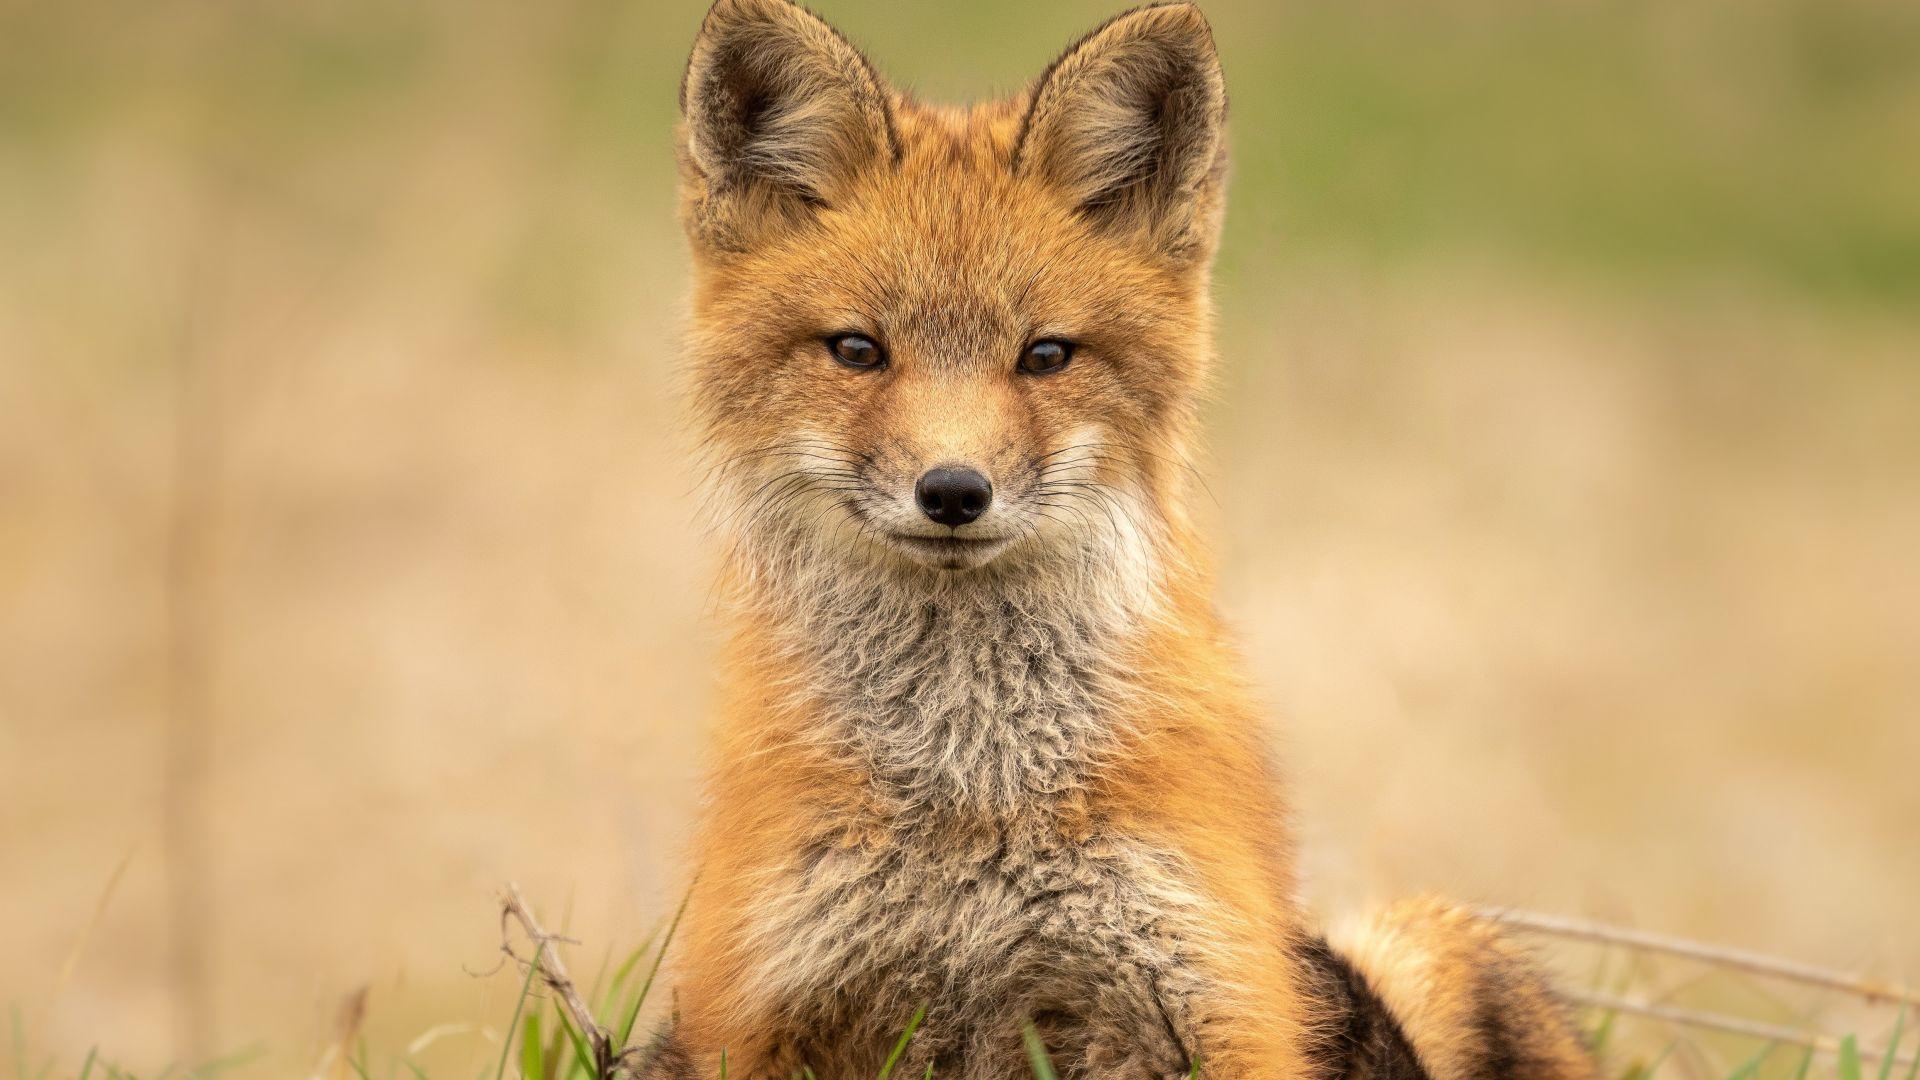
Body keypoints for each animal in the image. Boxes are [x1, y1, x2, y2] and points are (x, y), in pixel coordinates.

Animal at [645, 1, 1599, 1077]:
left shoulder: (1208, 1001)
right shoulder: (761, 1007)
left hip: (1434, 941)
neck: (975, 799)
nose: (953, 491)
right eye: (857, 350)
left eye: (1046, 355)